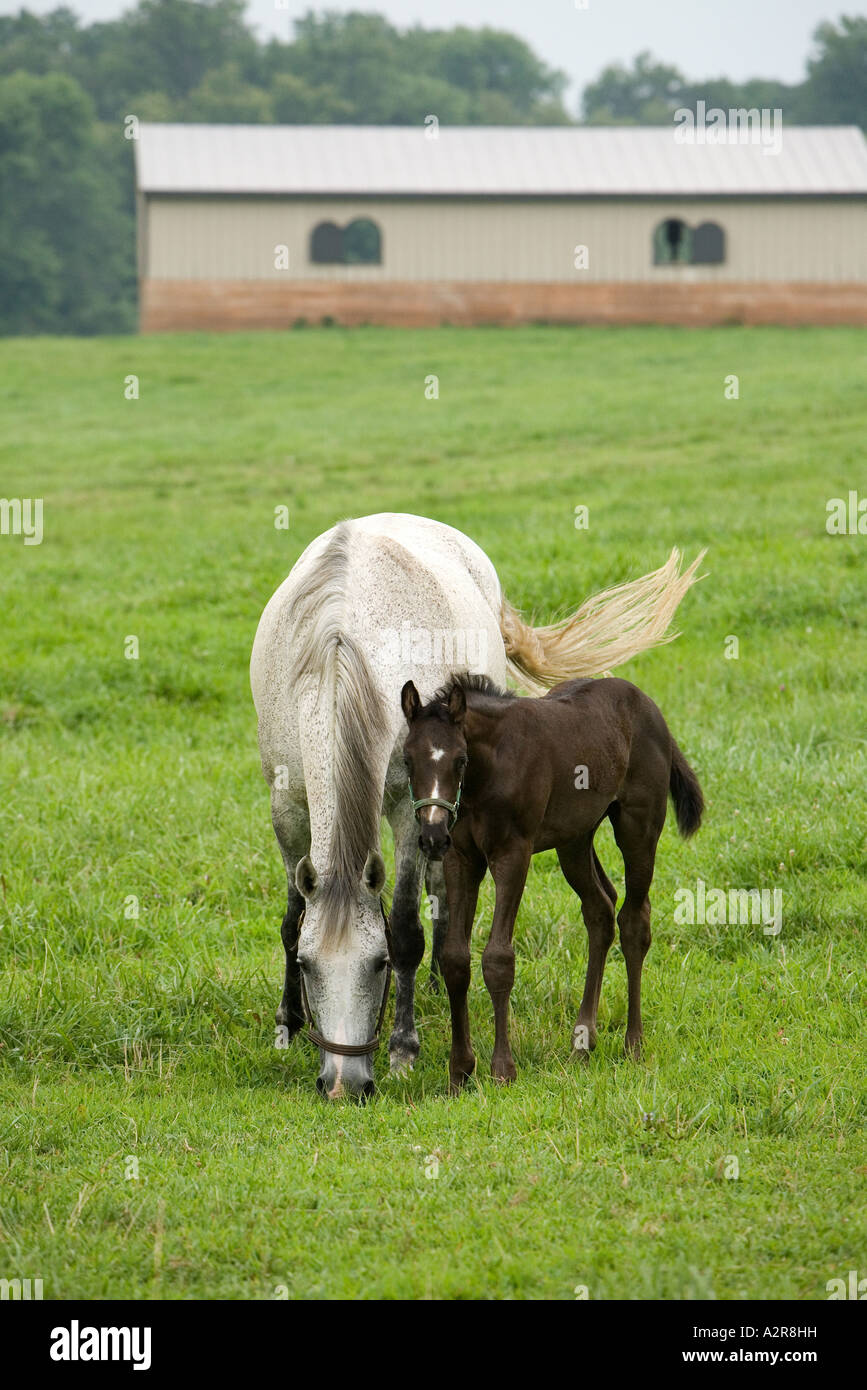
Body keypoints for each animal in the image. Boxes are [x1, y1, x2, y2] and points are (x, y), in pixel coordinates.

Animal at [400, 673, 703, 1092]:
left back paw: (633, 1044)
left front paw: (502, 1069)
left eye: (460, 760)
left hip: (638, 826)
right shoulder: (460, 858)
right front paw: (459, 1071)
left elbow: (498, 958)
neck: (489, 769)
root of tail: (647, 705)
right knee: (599, 910)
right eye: (407, 760)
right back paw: (582, 1042)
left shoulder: (513, 853)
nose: (431, 836)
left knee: (634, 921)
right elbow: (455, 958)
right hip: (574, 838)